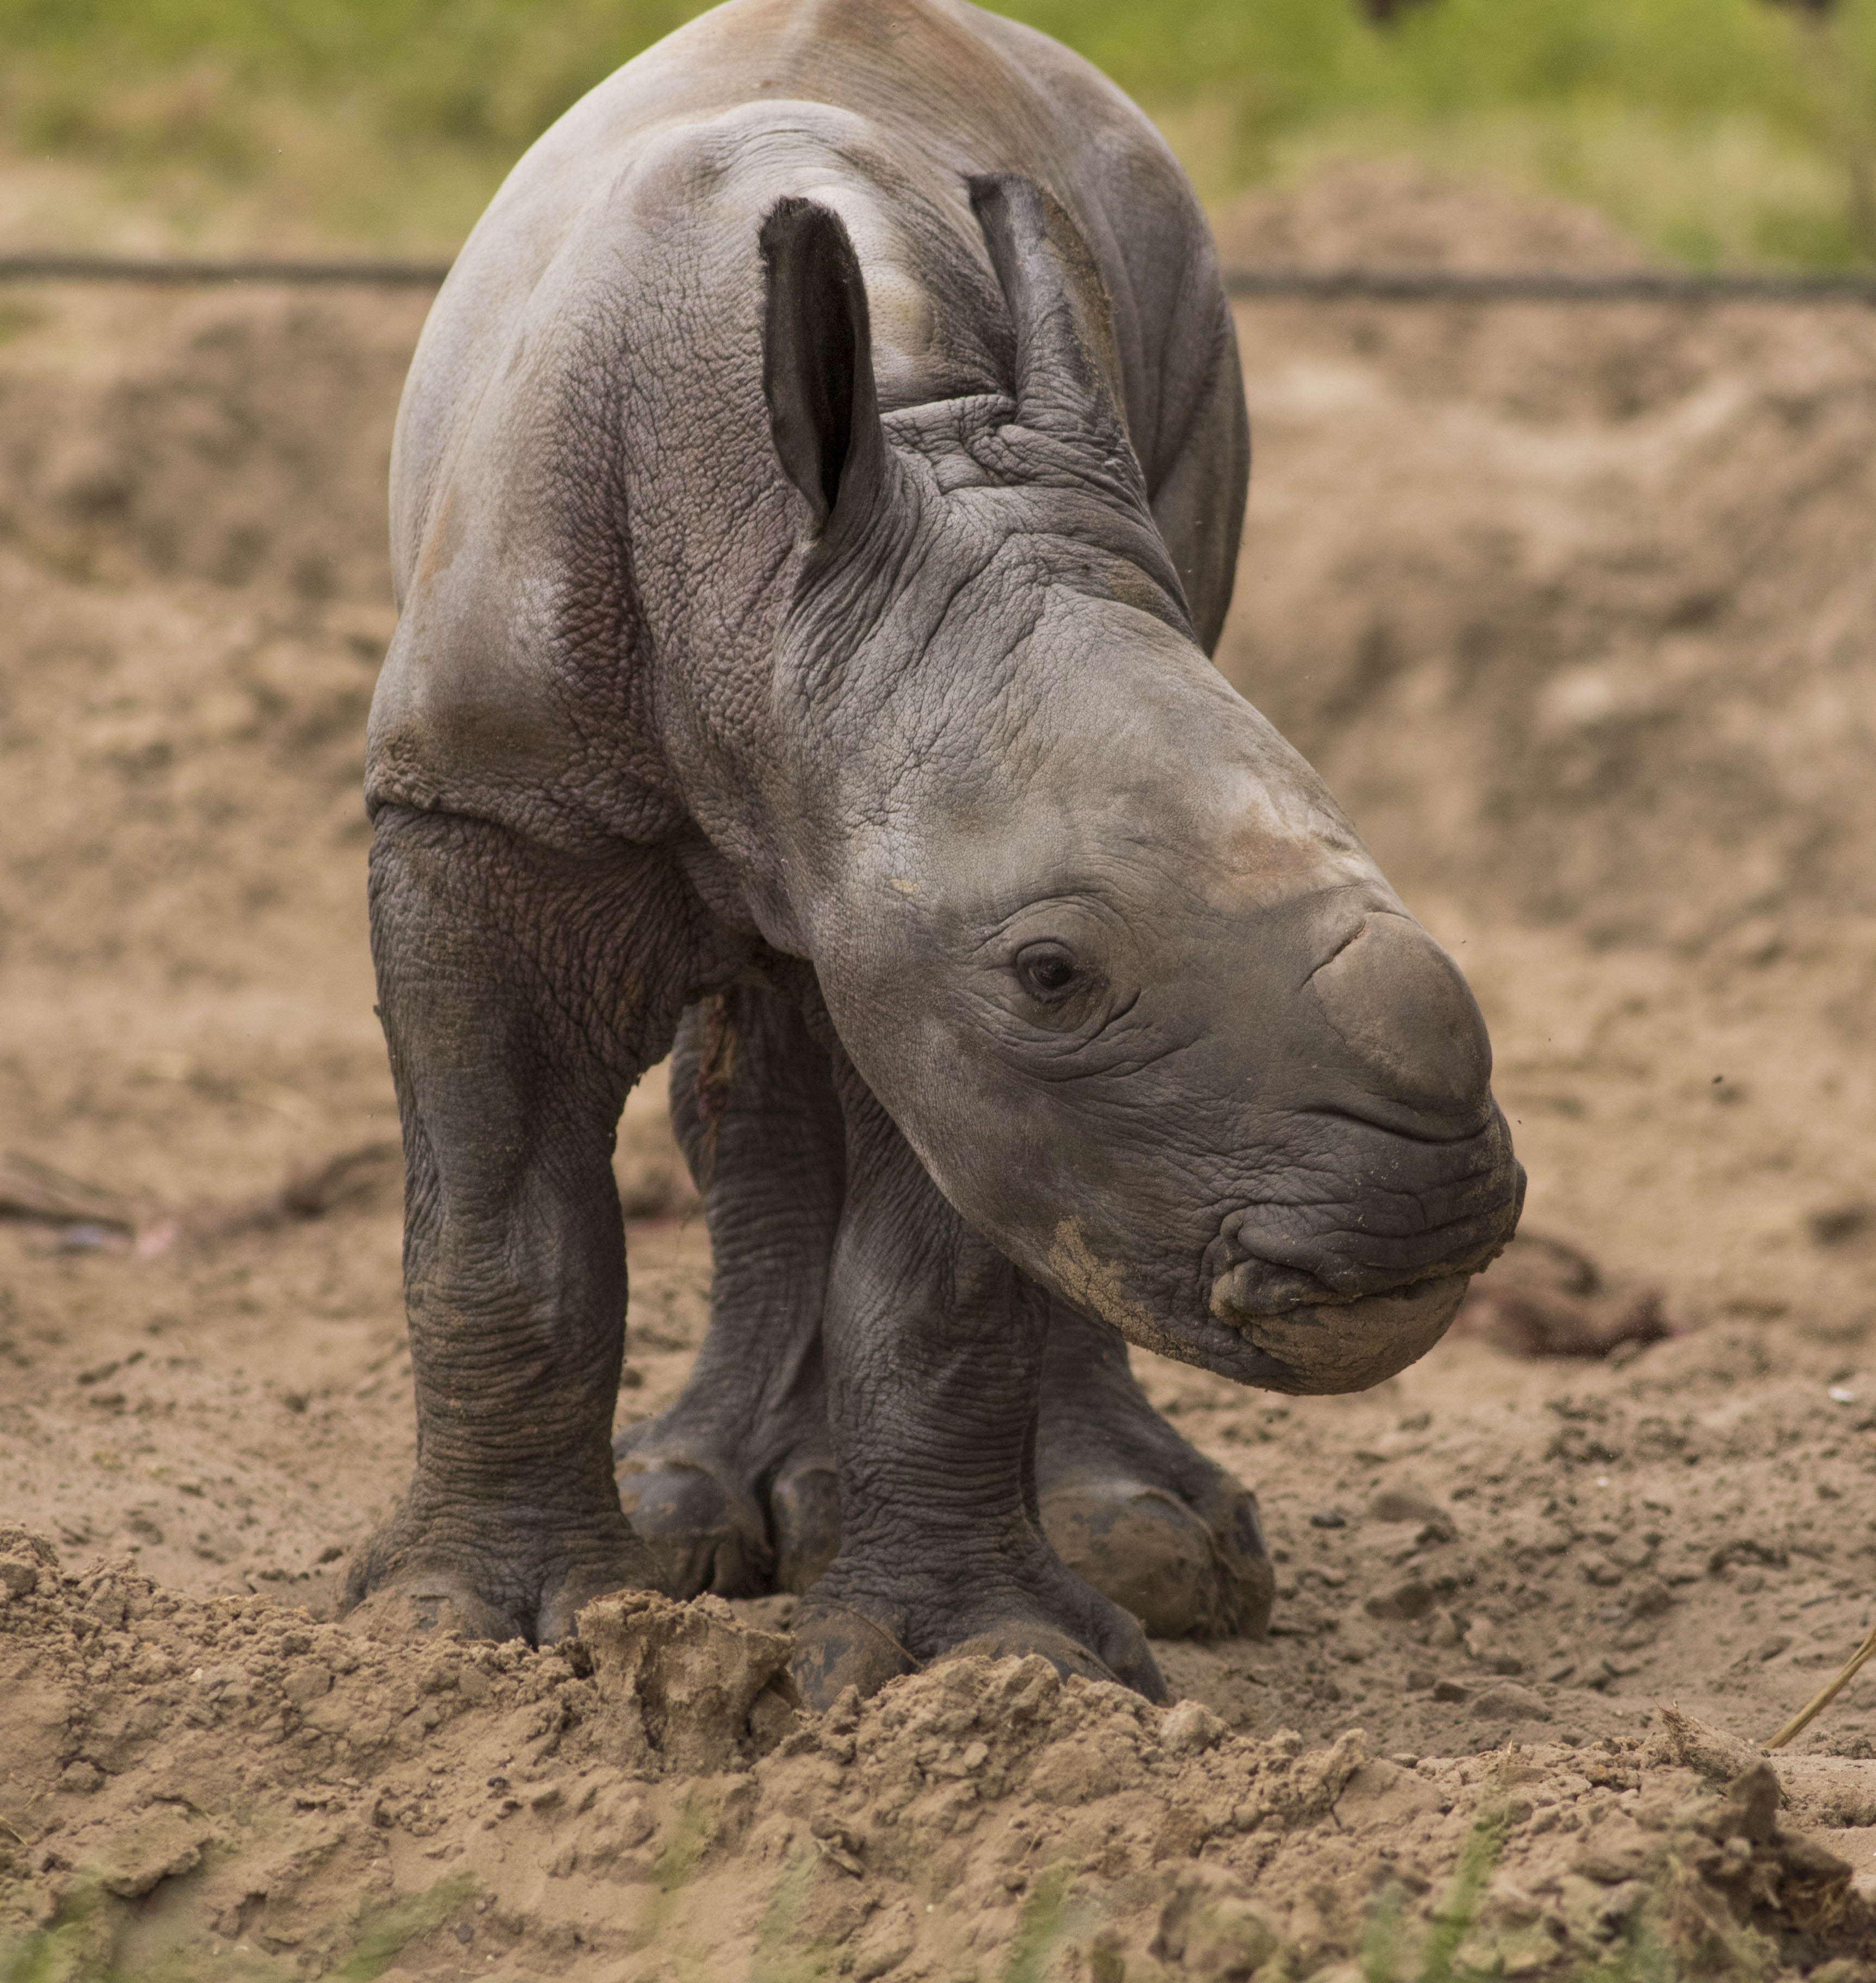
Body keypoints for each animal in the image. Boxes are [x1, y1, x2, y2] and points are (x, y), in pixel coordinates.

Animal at [349, 0, 1524, 1705]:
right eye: (1052, 972)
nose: (1411, 1233)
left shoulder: (929, 962)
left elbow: (959, 1270)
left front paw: (982, 1663)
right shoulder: (483, 807)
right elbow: (502, 1234)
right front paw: (459, 1627)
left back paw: (1123, 1545)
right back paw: (702, 1514)